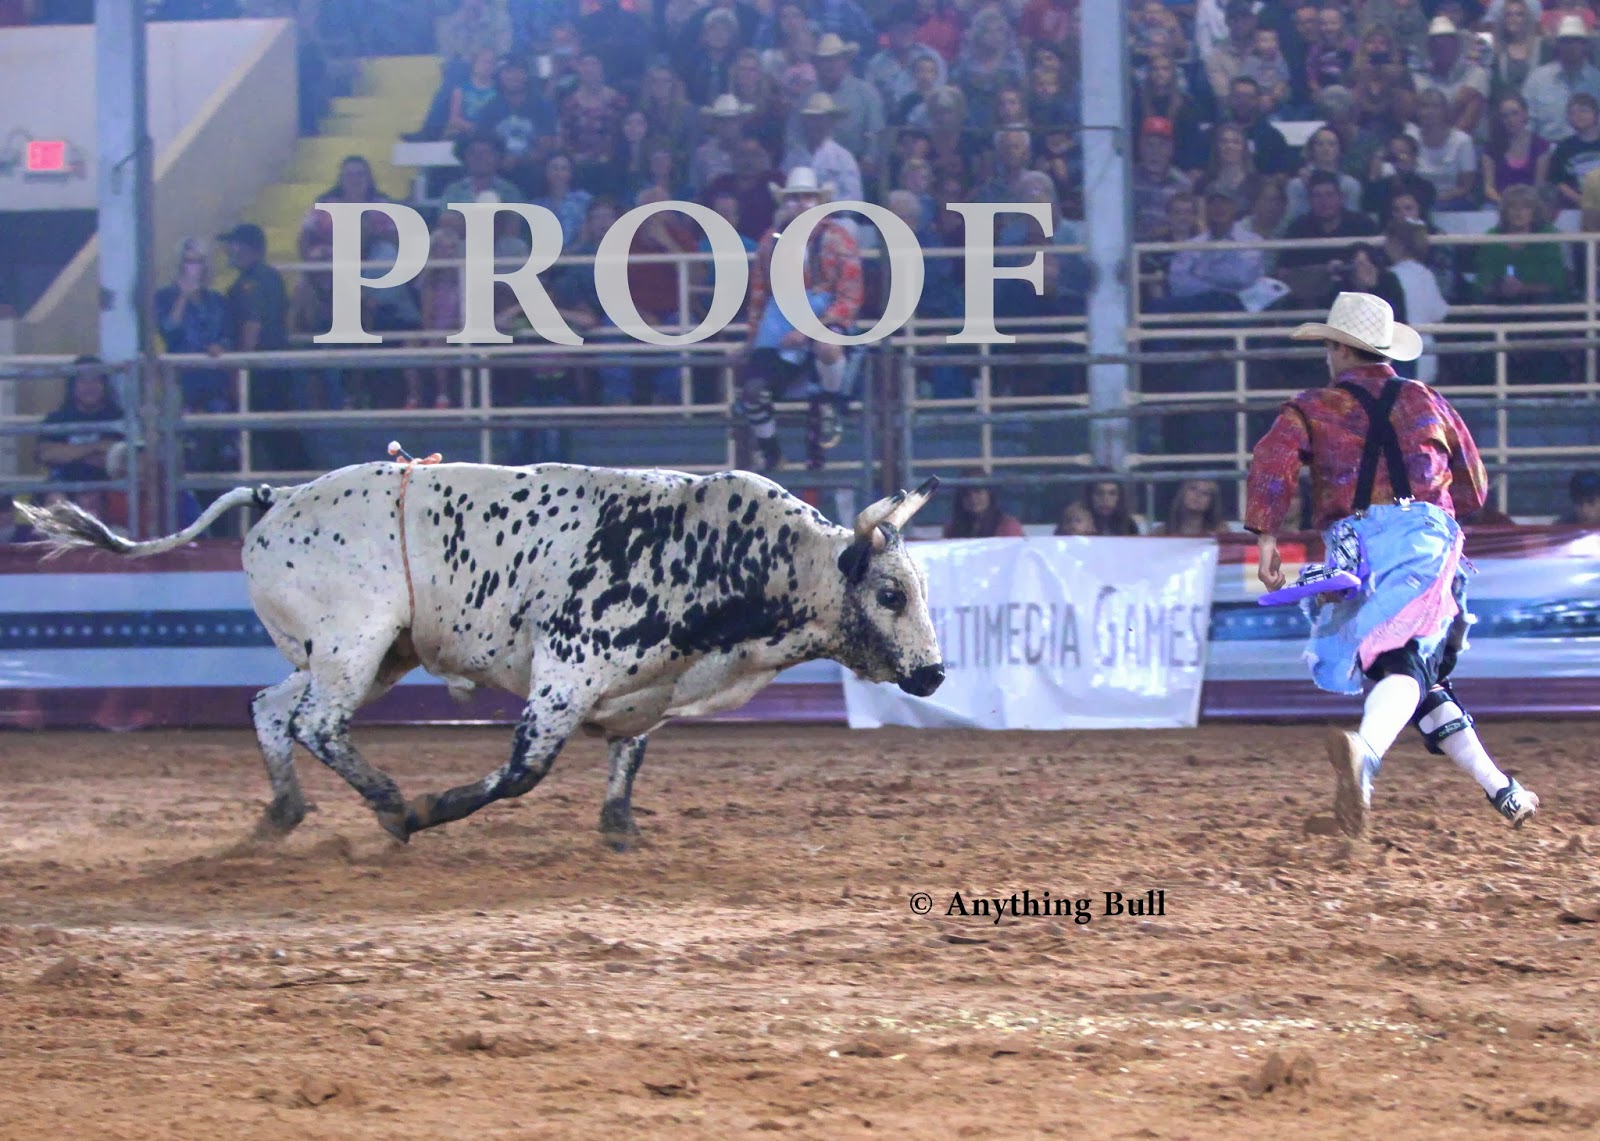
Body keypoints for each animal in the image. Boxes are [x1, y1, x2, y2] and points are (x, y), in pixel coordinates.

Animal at [22, 459, 945, 848]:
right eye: (890, 593)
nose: (934, 672)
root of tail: (277, 496)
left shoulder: (646, 689)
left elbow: (628, 760)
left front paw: (621, 830)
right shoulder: (568, 669)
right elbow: (521, 771)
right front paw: (431, 809)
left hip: (363, 654)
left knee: (272, 709)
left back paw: (280, 815)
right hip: (355, 645)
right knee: (317, 723)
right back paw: (391, 805)